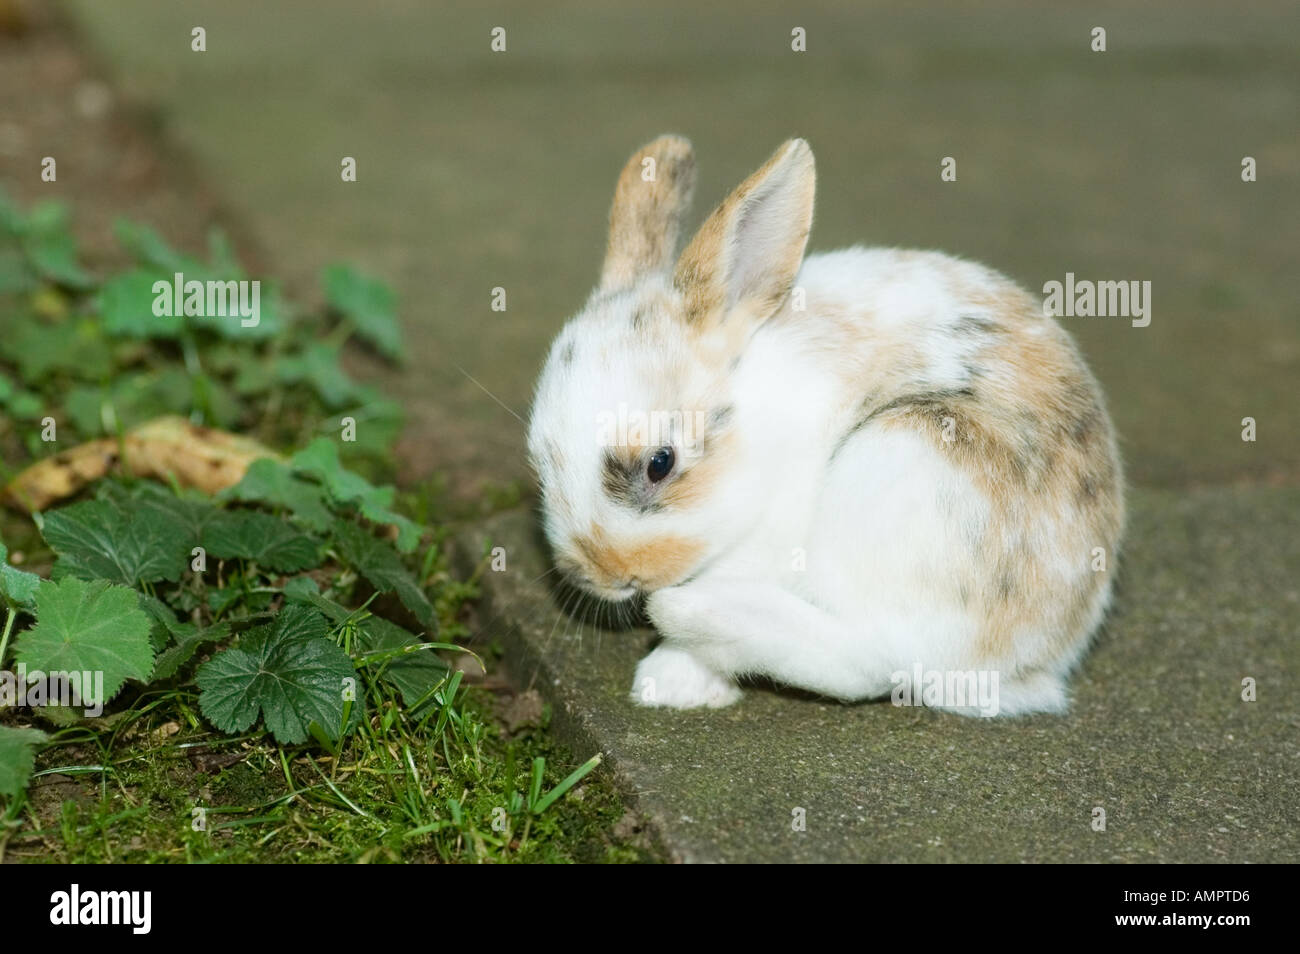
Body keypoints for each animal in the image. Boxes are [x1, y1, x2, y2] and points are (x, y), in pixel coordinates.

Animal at [527, 135, 1124, 716]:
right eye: (539, 465)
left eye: (659, 464)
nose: (603, 575)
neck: (756, 434)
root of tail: (1041, 657)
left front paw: (672, 677)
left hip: (903, 460)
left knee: (874, 660)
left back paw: (683, 618)